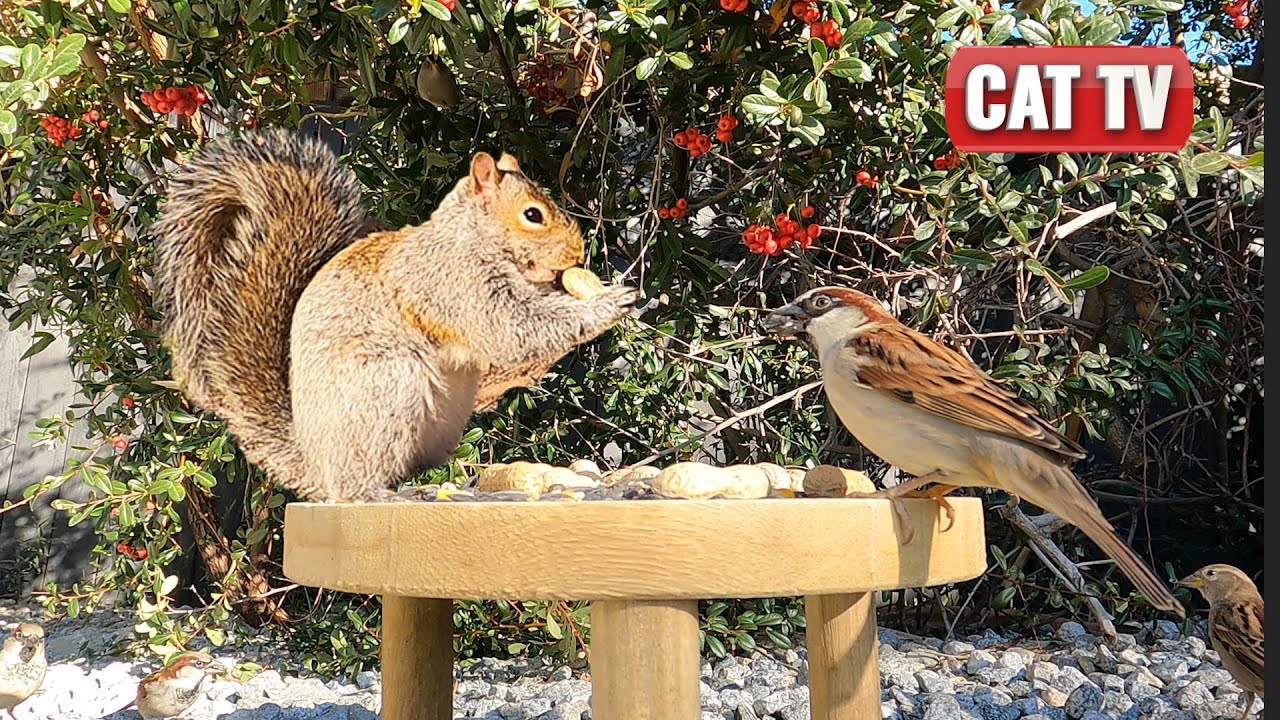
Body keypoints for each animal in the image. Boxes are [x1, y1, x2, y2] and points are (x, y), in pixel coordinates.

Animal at [152, 130, 637, 502]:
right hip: (386, 387)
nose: (577, 254)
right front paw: (606, 303)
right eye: (532, 215)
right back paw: (376, 492)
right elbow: (512, 330)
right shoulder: (453, 284)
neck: (470, 239)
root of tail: (315, 461)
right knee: (357, 480)